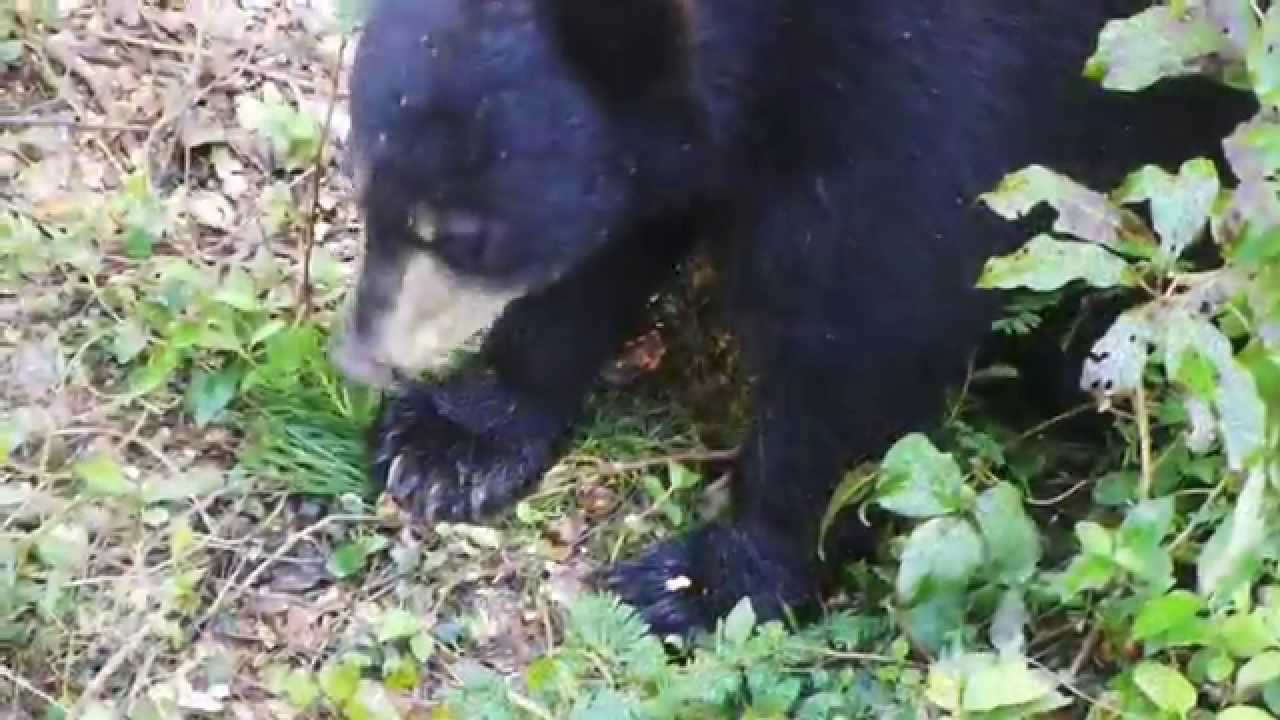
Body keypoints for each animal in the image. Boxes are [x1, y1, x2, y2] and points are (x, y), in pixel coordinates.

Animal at [330, 0, 1252, 636]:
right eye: (366, 185)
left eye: (464, 237)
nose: (360, 356)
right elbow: (613, 238)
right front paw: (451, 440)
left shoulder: (939, 85)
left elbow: (867, 326)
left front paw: (704, 583)